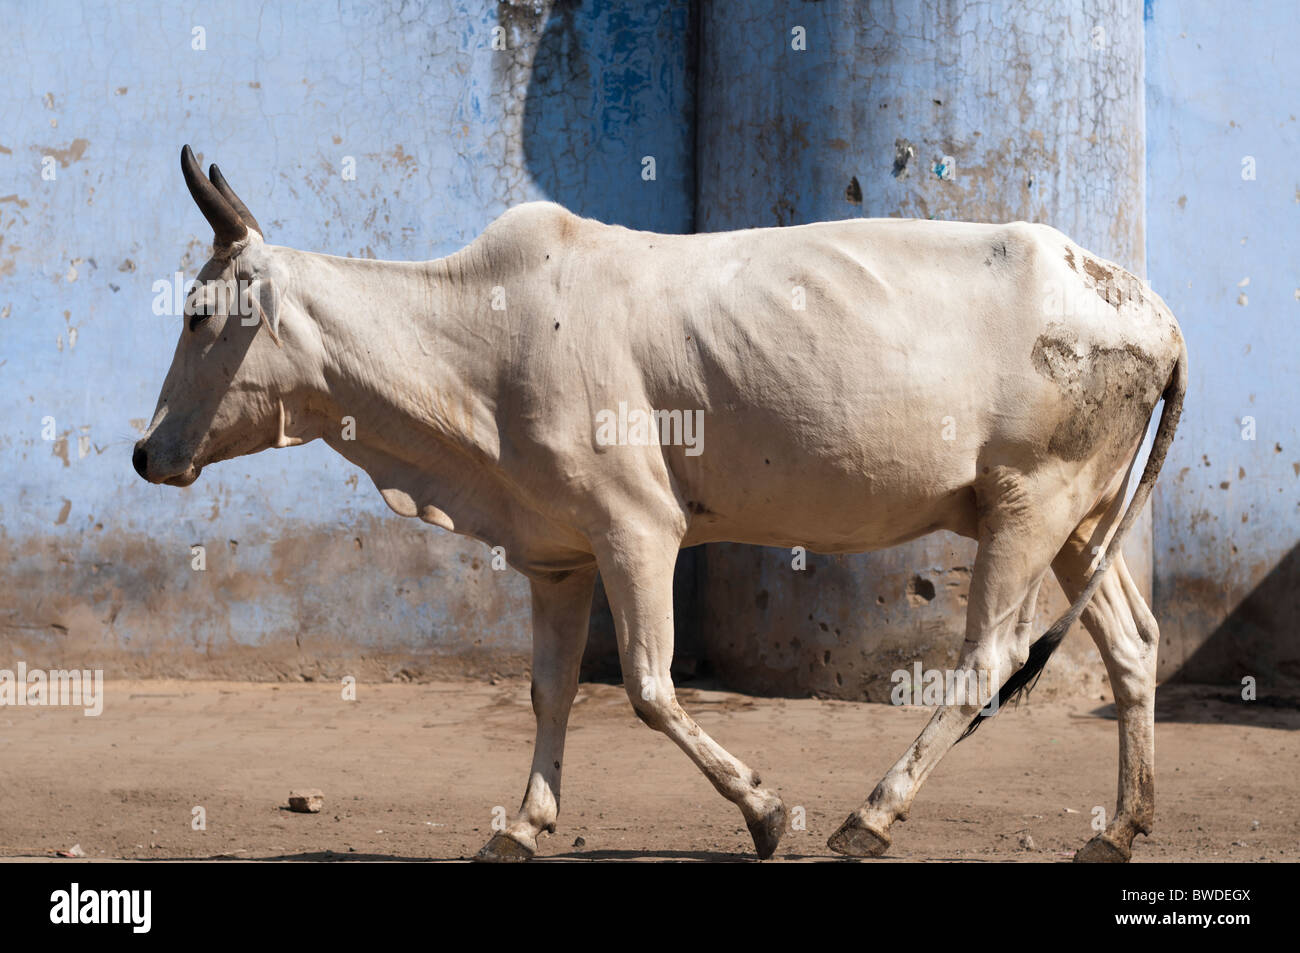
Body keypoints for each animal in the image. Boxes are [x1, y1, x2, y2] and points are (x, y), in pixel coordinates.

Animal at [134, 145, 1187, 862]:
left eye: (197, 313)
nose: (146, 453)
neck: (477, 338)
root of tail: (1157, 316)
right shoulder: (556, 550)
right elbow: (550, 688)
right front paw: (523, 825)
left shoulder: (637, 526)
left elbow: (647, 686)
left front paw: (764, 810)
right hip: (1080, 520)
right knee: (1134, 646)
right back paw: (1122, 825)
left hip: (1028, 501)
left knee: (985, 660)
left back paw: (871, 815)